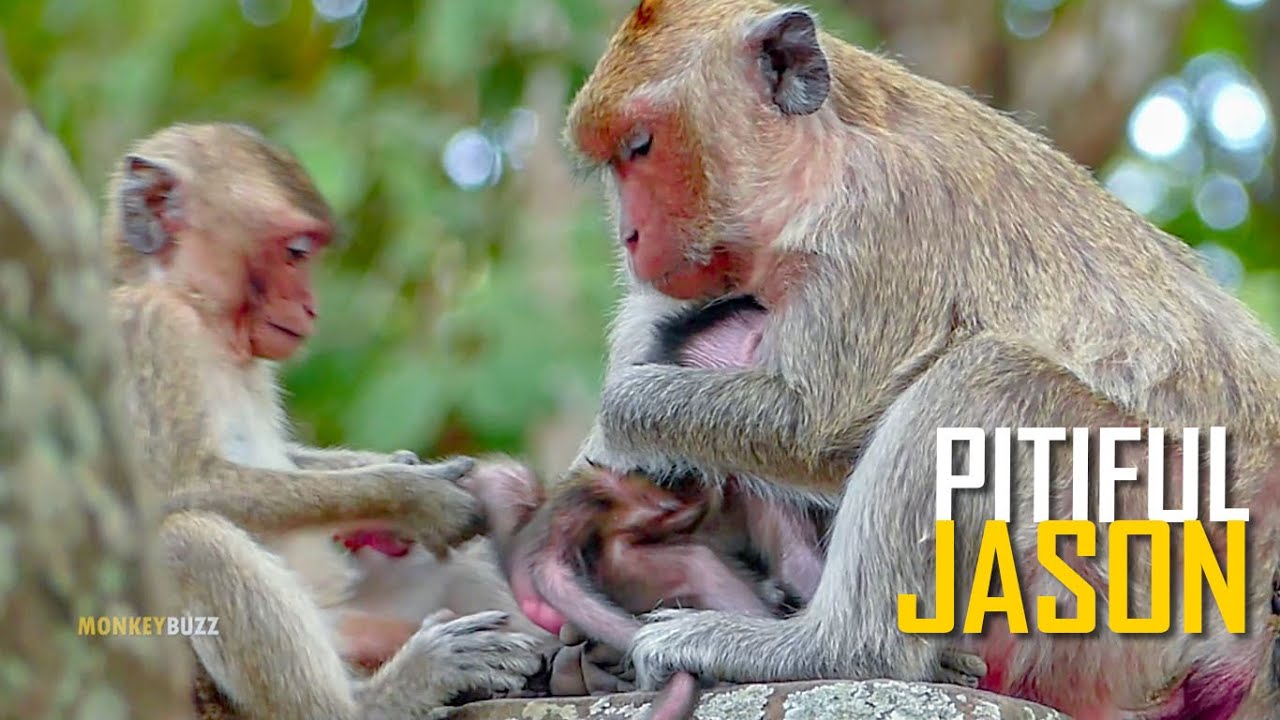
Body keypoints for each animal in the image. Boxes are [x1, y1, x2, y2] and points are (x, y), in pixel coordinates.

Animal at [105, 122, 545, 720]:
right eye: (295, 252)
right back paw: (374, 700)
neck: (196, 309)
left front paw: (402, 476)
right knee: (187, 540)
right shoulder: (146, 330)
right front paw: (413, 494)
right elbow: (174, 488)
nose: (311, 306)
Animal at [514, 1, 1280, 718]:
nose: (629, 235)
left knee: (988, 383)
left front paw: (617, 424)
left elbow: (814, 429)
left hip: (1142, 560)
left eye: (640, 147)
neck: (829, 155)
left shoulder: (881, 222)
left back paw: (832, 648)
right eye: (613, 160)